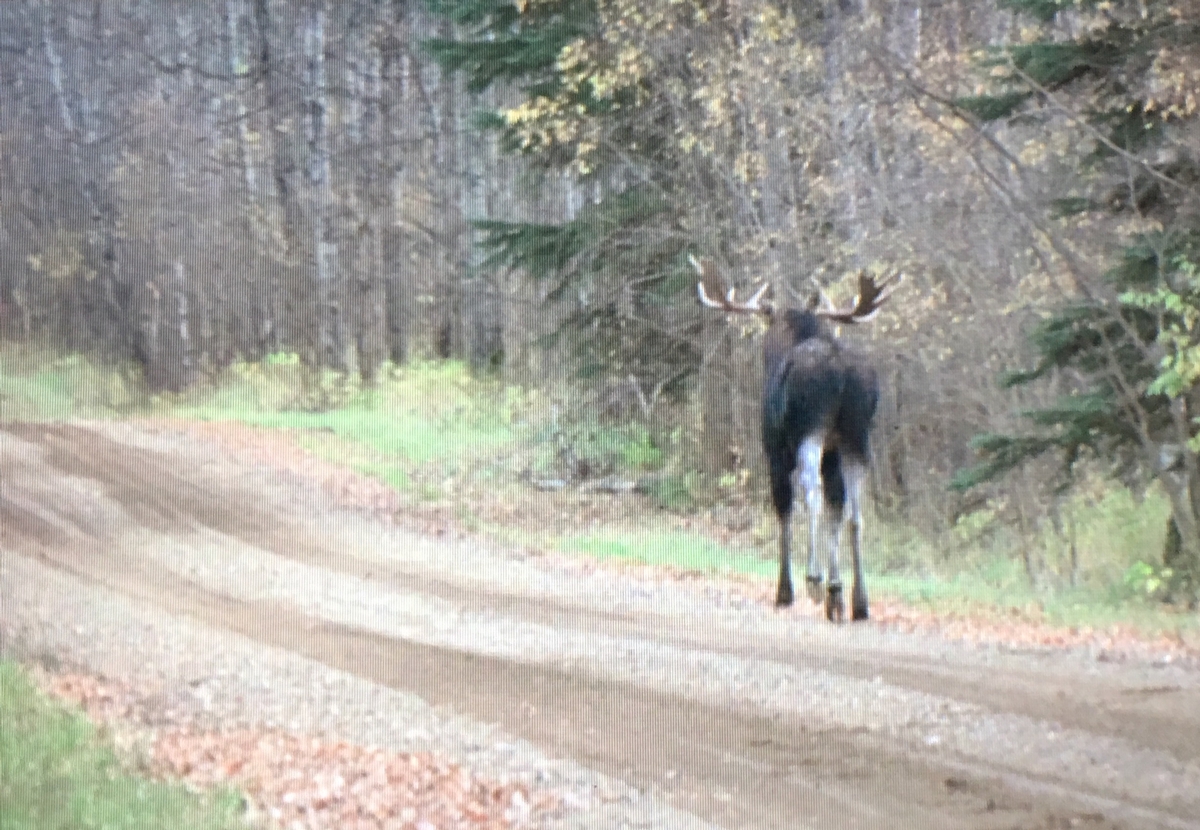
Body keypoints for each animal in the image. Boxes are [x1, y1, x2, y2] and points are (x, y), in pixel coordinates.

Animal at [692, 255, 901, 622]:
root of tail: (842, 371)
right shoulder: (833, 453)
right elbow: (838, 508)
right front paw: (837, 592)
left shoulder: (773, 449)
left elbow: (784, 510)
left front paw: (785, 591)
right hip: (857, 434)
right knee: (855, 511)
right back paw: (858, 601)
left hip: (811, 428)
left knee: (812, 490)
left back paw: (815, 580)